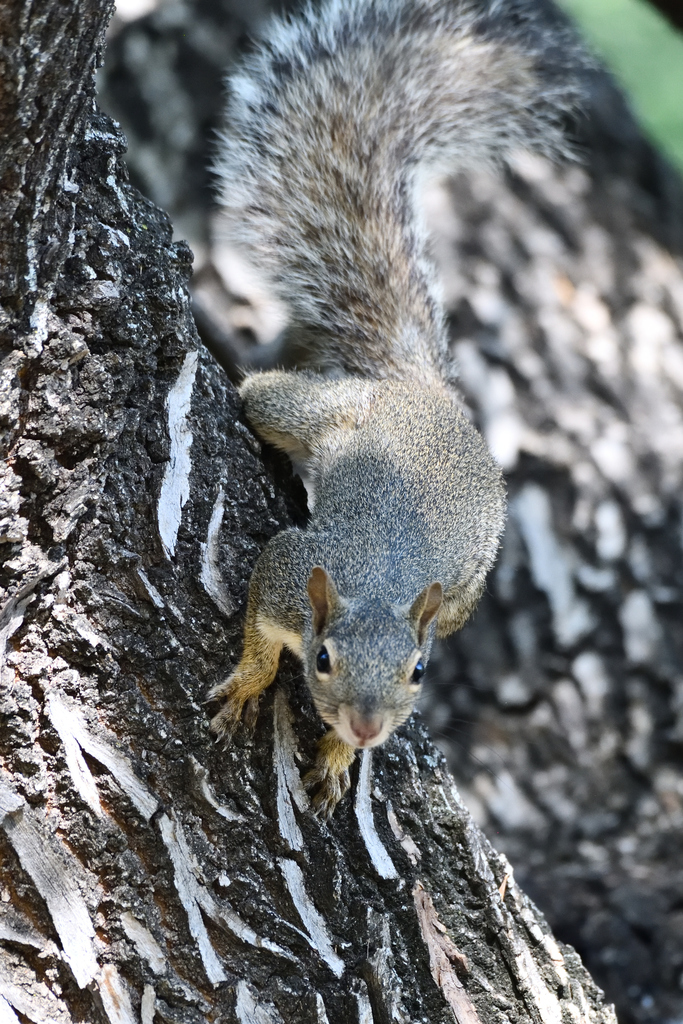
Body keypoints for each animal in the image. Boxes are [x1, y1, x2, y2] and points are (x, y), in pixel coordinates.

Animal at [208, 0, 586, 817]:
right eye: (322, 658)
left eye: (418, 674)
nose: (366, 724)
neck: (380, 591)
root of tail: (426, 389)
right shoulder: (287, 572)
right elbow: (260, 633)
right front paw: (252, 685)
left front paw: (339, 757)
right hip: (311, 411)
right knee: (260, 399)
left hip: (465, 595)